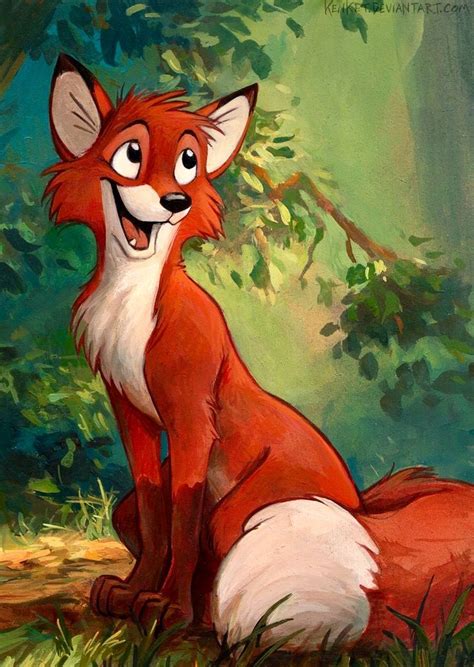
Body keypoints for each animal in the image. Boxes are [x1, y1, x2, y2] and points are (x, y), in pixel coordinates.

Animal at [45, 54, 473, 651]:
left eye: (188, 163)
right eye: (131, 154)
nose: (175, 201)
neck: (131, 303)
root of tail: (363, 512)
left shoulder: (190, 413)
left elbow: (181, 519)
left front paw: (167, 607)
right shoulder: (131, 412)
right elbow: (155, 516)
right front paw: (132, 591)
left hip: (238, 513)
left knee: (216, 552)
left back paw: (204, 614)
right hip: (157, 508)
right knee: (142, 520)